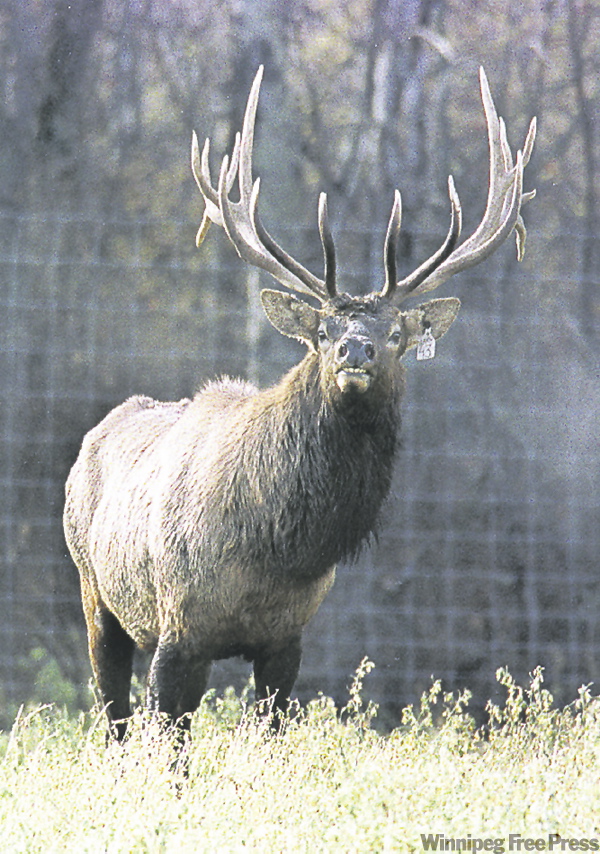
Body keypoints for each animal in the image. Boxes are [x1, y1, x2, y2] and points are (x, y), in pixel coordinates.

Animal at [63, 67, 536, 742]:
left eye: (397, 332)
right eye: (322, 331)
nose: (355, 350)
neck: (274, 551)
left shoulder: (287, 638)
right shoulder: (178, 627)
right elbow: (169, 745)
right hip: (94, 591)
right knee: (113, 720)